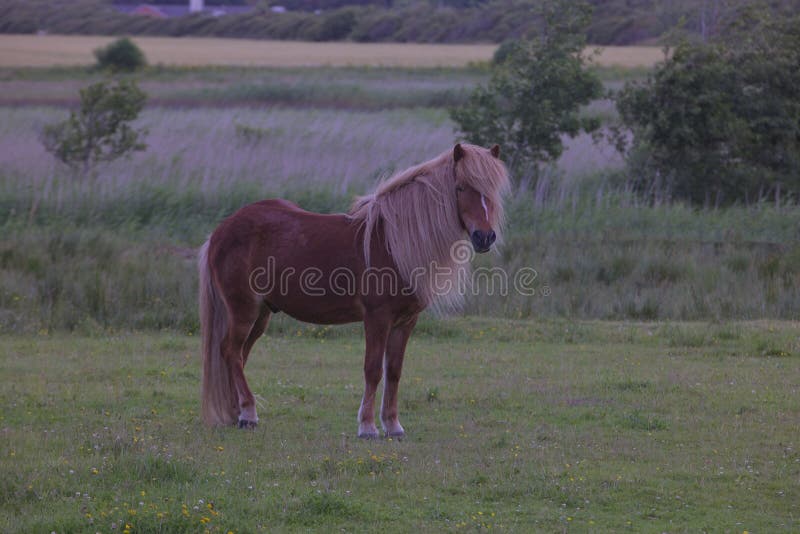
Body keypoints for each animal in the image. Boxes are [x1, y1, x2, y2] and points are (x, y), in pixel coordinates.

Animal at [198, 143, 510, 437]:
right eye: (460, 187)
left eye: (492, 190)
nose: (485, 237)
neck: (392, 243)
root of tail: (221, 231)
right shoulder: (377, 318)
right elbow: (372, 370)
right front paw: (368, 427)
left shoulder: (406, 321)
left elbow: (393, 371)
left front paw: (393, 426)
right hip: (243, 309)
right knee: (231, 351)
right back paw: (249, 414)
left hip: (262, 313)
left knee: (239, 354)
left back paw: (237, 413)